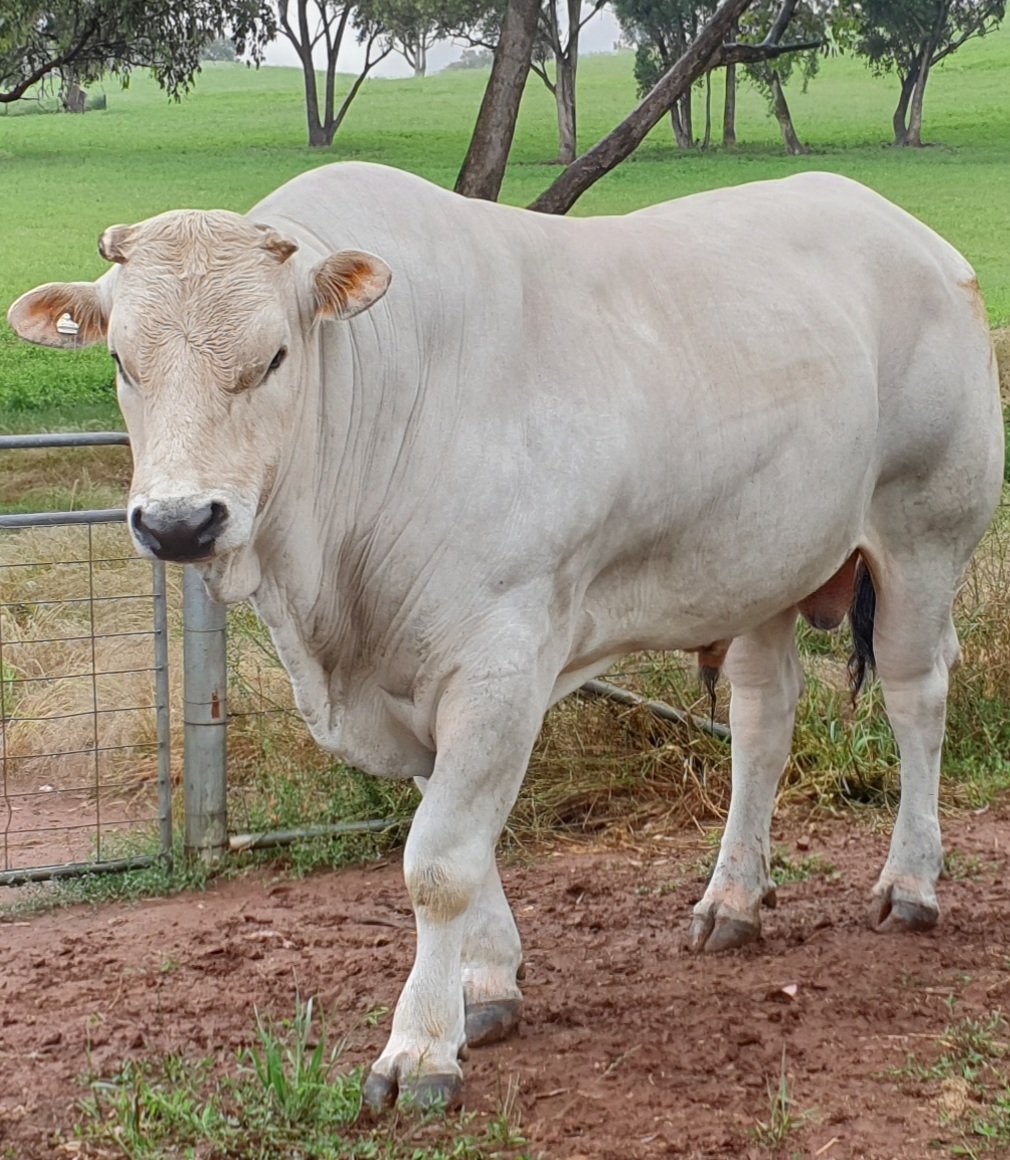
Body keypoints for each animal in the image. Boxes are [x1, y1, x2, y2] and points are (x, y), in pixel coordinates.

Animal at [8, 163, 1004, 1110]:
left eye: (274, 358)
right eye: (122, 361)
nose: (178, 523)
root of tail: (906, 231)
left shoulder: (494, 664)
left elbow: (440, 861)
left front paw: (419, 1050)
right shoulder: (410, 681)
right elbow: (459, 840)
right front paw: (486, 986)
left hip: (922, 535)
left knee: (917, 699)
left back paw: (910, 883)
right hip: (762, 562)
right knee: (763, 722)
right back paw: (732, 898)